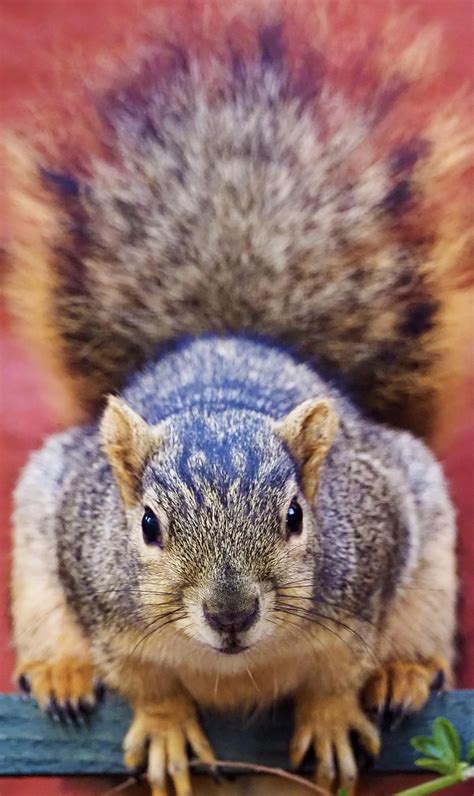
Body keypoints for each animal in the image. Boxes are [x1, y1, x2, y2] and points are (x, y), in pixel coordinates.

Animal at [6, 2, 472, 795]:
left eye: (296, 516)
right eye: (147, 526)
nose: (231, 615)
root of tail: (226, 333)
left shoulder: (367, 577)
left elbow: (338, 673)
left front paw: (330, 717)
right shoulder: (100, 599)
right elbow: (146, 683)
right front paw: (164, 726)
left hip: (430, 553)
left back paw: (406, 672)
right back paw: (61, 673)